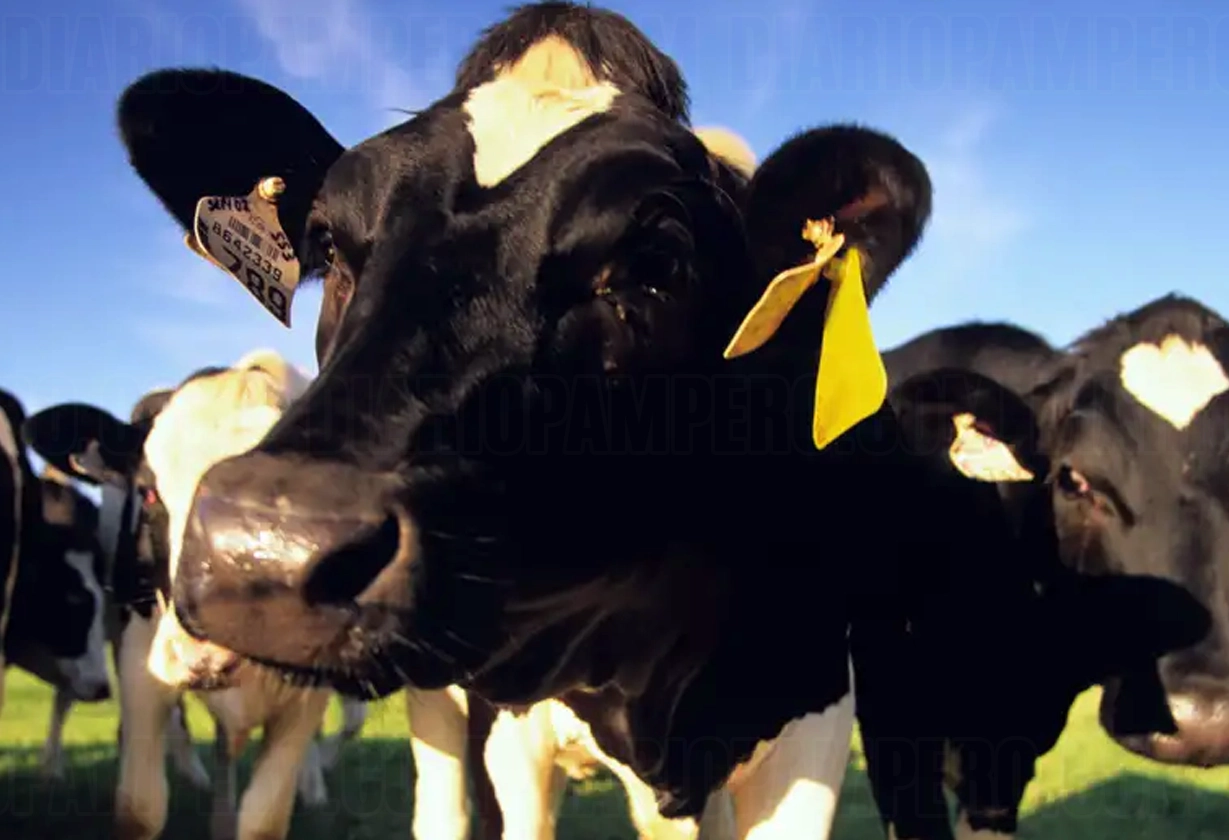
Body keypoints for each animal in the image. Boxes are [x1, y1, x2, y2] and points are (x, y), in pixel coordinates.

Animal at [23, 351, 365, 840]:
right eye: (148, 492)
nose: (205, 655)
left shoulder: (308, 690)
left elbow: (263, 820)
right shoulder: (140, 663)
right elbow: (140, 807)